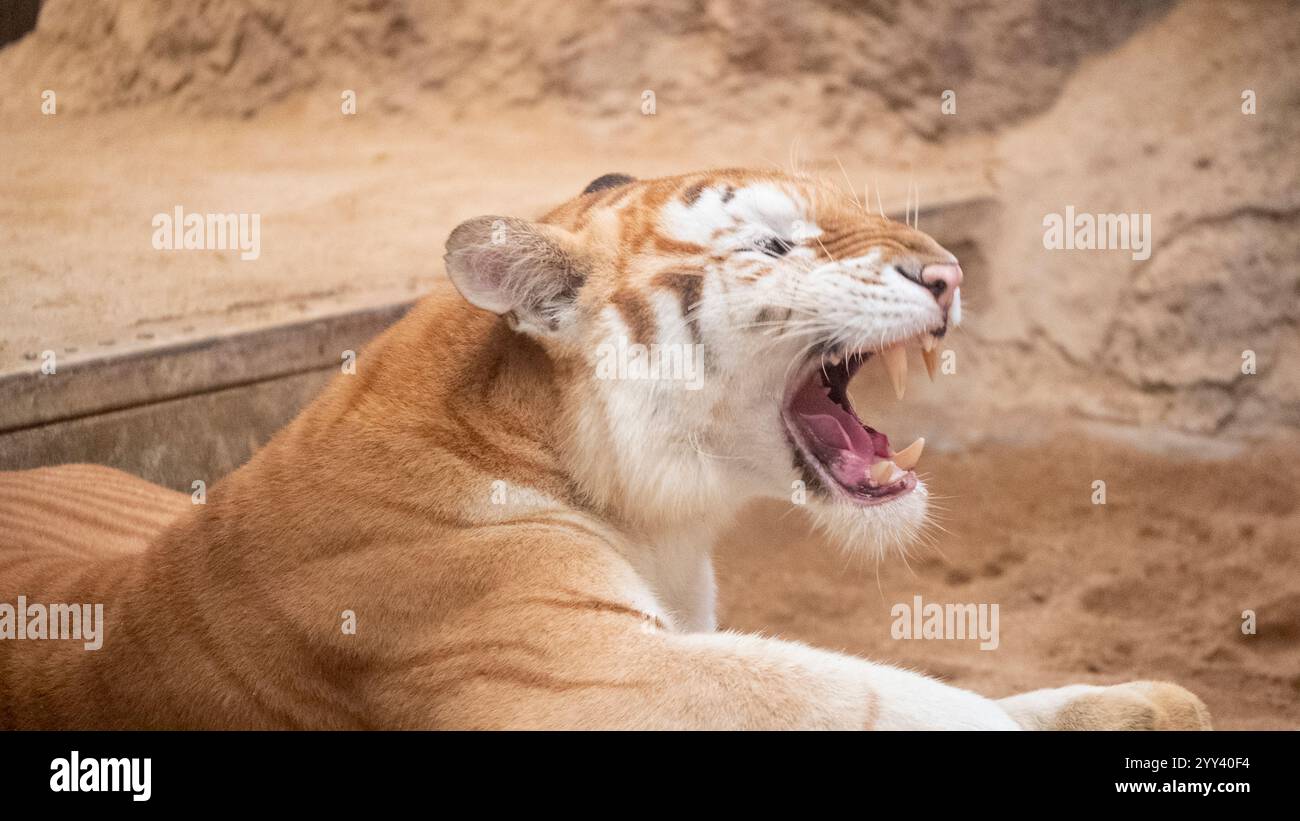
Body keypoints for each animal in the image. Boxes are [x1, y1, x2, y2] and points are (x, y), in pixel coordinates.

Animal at [0, 168, 1211, 729]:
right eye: (775, 244)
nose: (949, 273)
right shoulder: (586, 670)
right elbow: (865, 695)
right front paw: (1169, 705)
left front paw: (1135, 701)